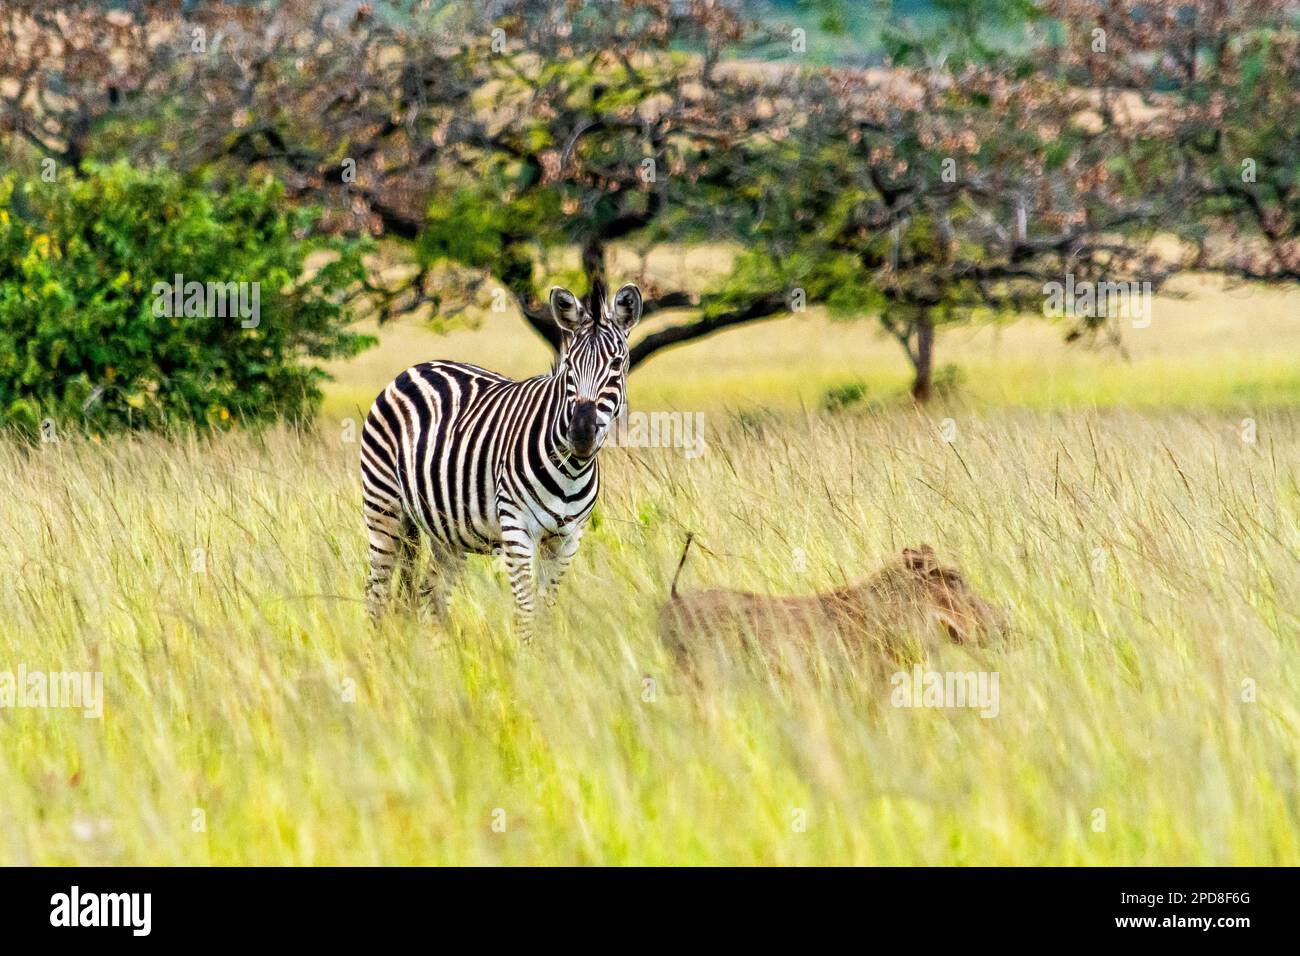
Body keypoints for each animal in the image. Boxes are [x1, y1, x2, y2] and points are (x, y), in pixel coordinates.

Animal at [359, 282, 642, 642]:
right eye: (569, 365)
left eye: (617, 364)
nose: (580, 433)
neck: (570, 471)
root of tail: (414, 368)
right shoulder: (517, 528)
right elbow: (526, 611)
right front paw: (527, 655)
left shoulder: (567, 539)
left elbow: (546, 608)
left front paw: (548, 653)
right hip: (384, 507)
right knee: (376, 592)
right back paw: (378, 650)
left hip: (445, 530)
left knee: (429, 594)